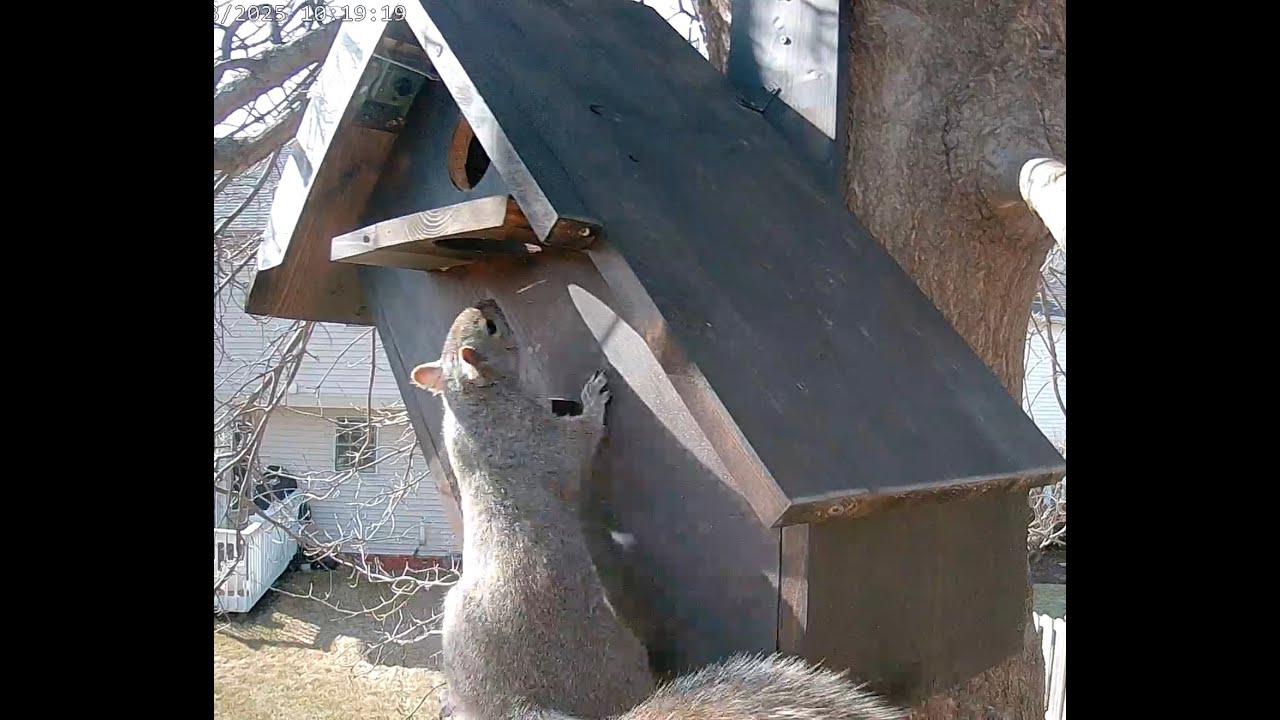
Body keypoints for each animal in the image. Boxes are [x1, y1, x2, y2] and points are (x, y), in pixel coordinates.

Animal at [411, 299, 906, 720]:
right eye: (490, 328)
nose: (489, 301)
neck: (475, 403)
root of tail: (518, 704)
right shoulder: (534, 437)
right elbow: (579, 444)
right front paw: (593, 398)